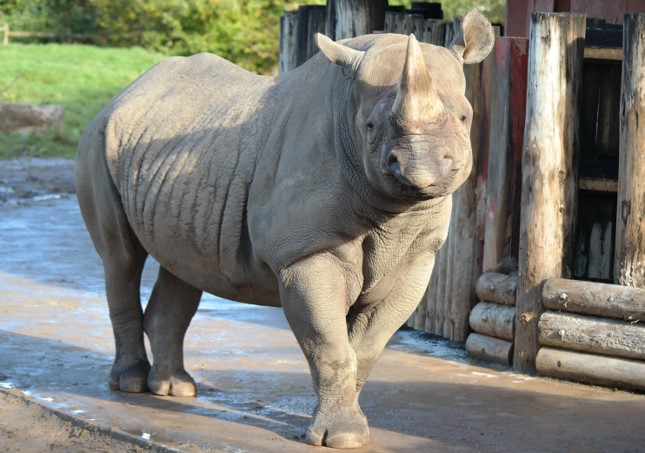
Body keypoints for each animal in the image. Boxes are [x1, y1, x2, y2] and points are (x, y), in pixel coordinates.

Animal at [75, 9, 494, 449]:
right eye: (370, 126)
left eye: (465, 117)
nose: (422, 169)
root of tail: (126, 92)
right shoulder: (305, 251)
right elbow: (330, 345)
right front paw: (340, 438)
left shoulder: (418, 256)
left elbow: (366, 347)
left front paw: (353, 433)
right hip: (98, 139)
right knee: (121, 258)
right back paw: (131, 385)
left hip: (176, 159)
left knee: (183, 263)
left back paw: (175, 389)